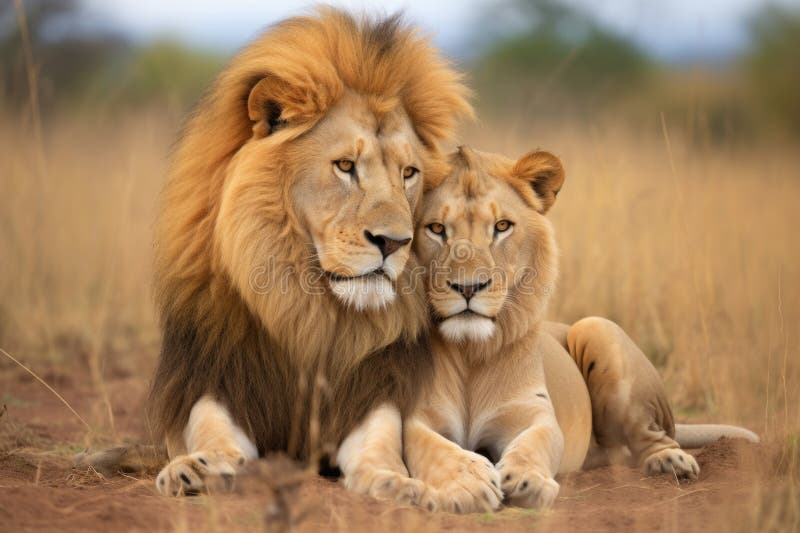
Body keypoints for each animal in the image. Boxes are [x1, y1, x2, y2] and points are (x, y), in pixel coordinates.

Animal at [142, 9, 471, 500]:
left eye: (409, 173)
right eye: (345, 166)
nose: (394, 242)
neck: (307, 307)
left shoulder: (375, 386)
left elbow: (380, 441)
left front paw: (394, 480)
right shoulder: (211, 373)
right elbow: (209, 427)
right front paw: (196, 468)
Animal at [403, 146, 759, 513]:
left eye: (502, 226)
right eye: (436, 228)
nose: (468, 287)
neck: (470, 351)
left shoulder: (534, 414)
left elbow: (535, 443)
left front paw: (527, 481)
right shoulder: (418, 417)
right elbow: (436, 447)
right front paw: (469, 485)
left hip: (598, 329)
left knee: (652, 435)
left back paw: (670, 462)